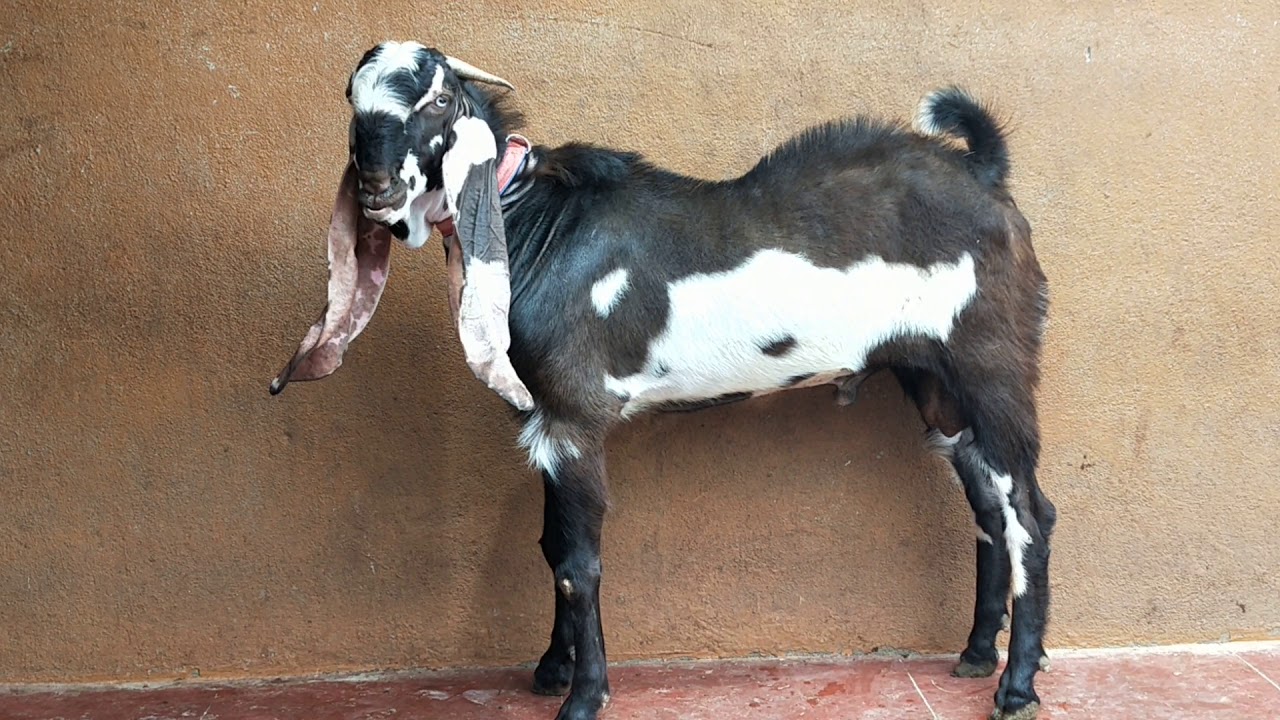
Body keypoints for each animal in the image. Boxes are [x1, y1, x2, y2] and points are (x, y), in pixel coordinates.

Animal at [270, 41, 1057, 720]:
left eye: (436, 103)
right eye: (352, 101)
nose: (374, 187)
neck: (541, 225)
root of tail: (986, 174)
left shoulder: (576, 414)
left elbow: (579, 561)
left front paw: (584, 697)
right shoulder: (545, 419)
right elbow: (551, 546)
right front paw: (551, 670)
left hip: (995, 362)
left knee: (1029, 512)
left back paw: (1017, 687)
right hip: (937, 382)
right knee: (988, 505)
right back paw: (976, 656)